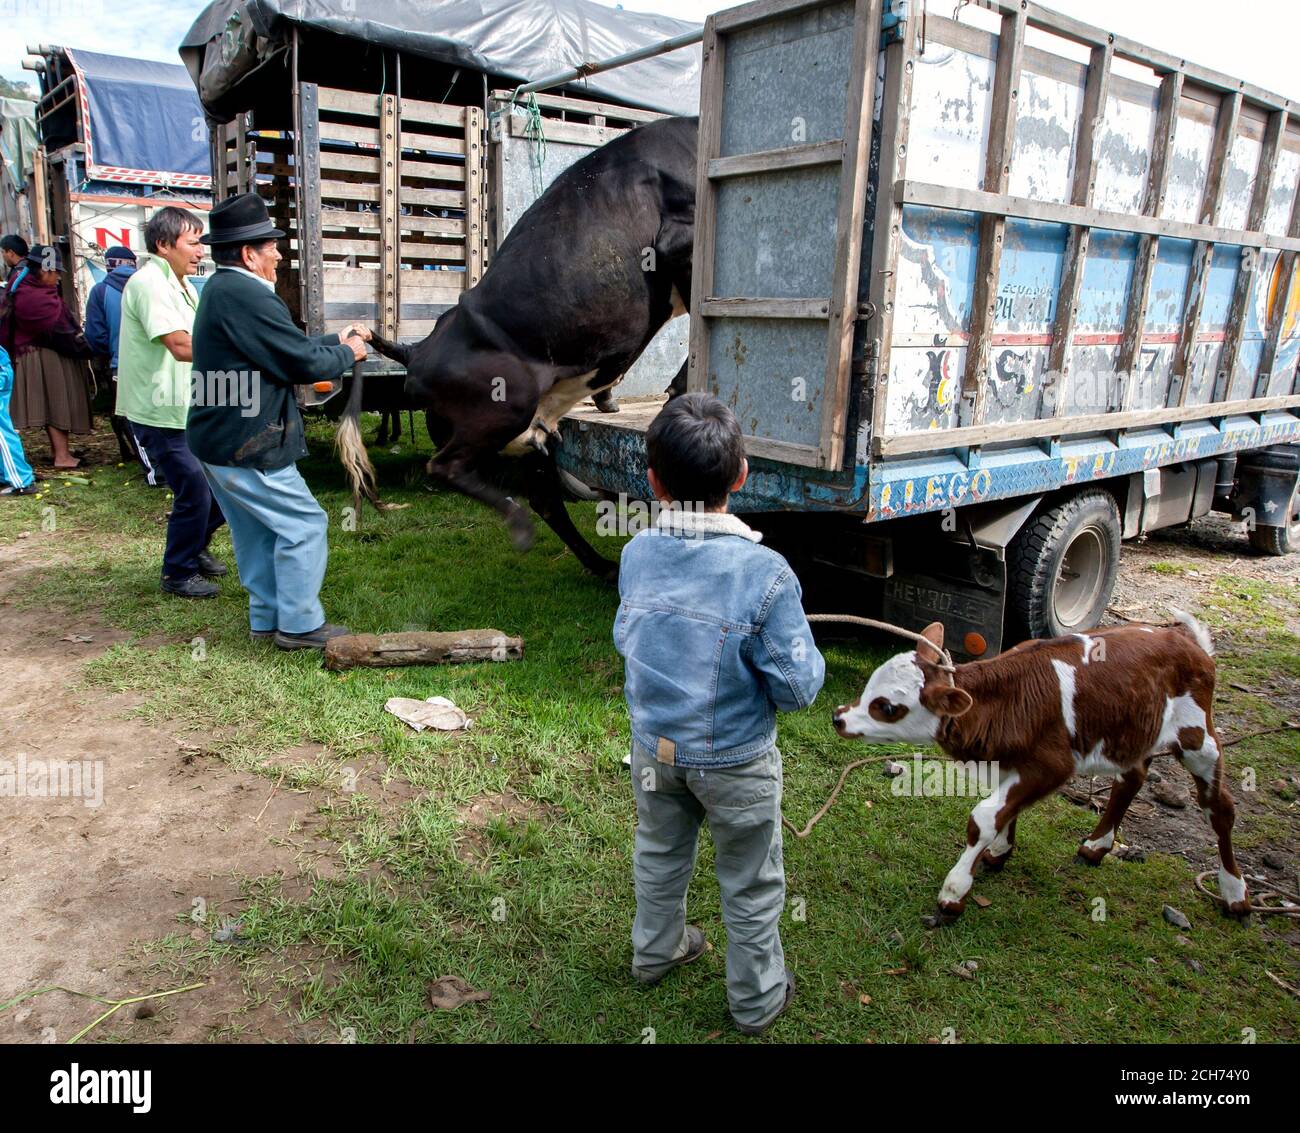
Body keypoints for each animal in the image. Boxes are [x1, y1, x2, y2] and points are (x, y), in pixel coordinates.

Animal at [338, 115, 697, 578]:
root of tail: (417, 350)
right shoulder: (678, 243)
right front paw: (680, 388)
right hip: (509, 402)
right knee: (445, 466)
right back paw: (520, 524)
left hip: (532, 435)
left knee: (545, 499)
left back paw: (600, 566)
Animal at [831, 609, 1250, 925]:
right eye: (868, 688)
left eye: (887, 707)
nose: (839, 718)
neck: (1005, 701)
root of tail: (1187, 642)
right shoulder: (1008, 761)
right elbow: (1001, 812)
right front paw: (999, 852)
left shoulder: (1052, 764)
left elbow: (983, 817)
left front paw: (953, 893)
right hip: (1133, 727)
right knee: (1132, 777)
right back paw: (1096, 846)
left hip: (1197, 737)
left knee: (1220, 807)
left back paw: (1235, 894)